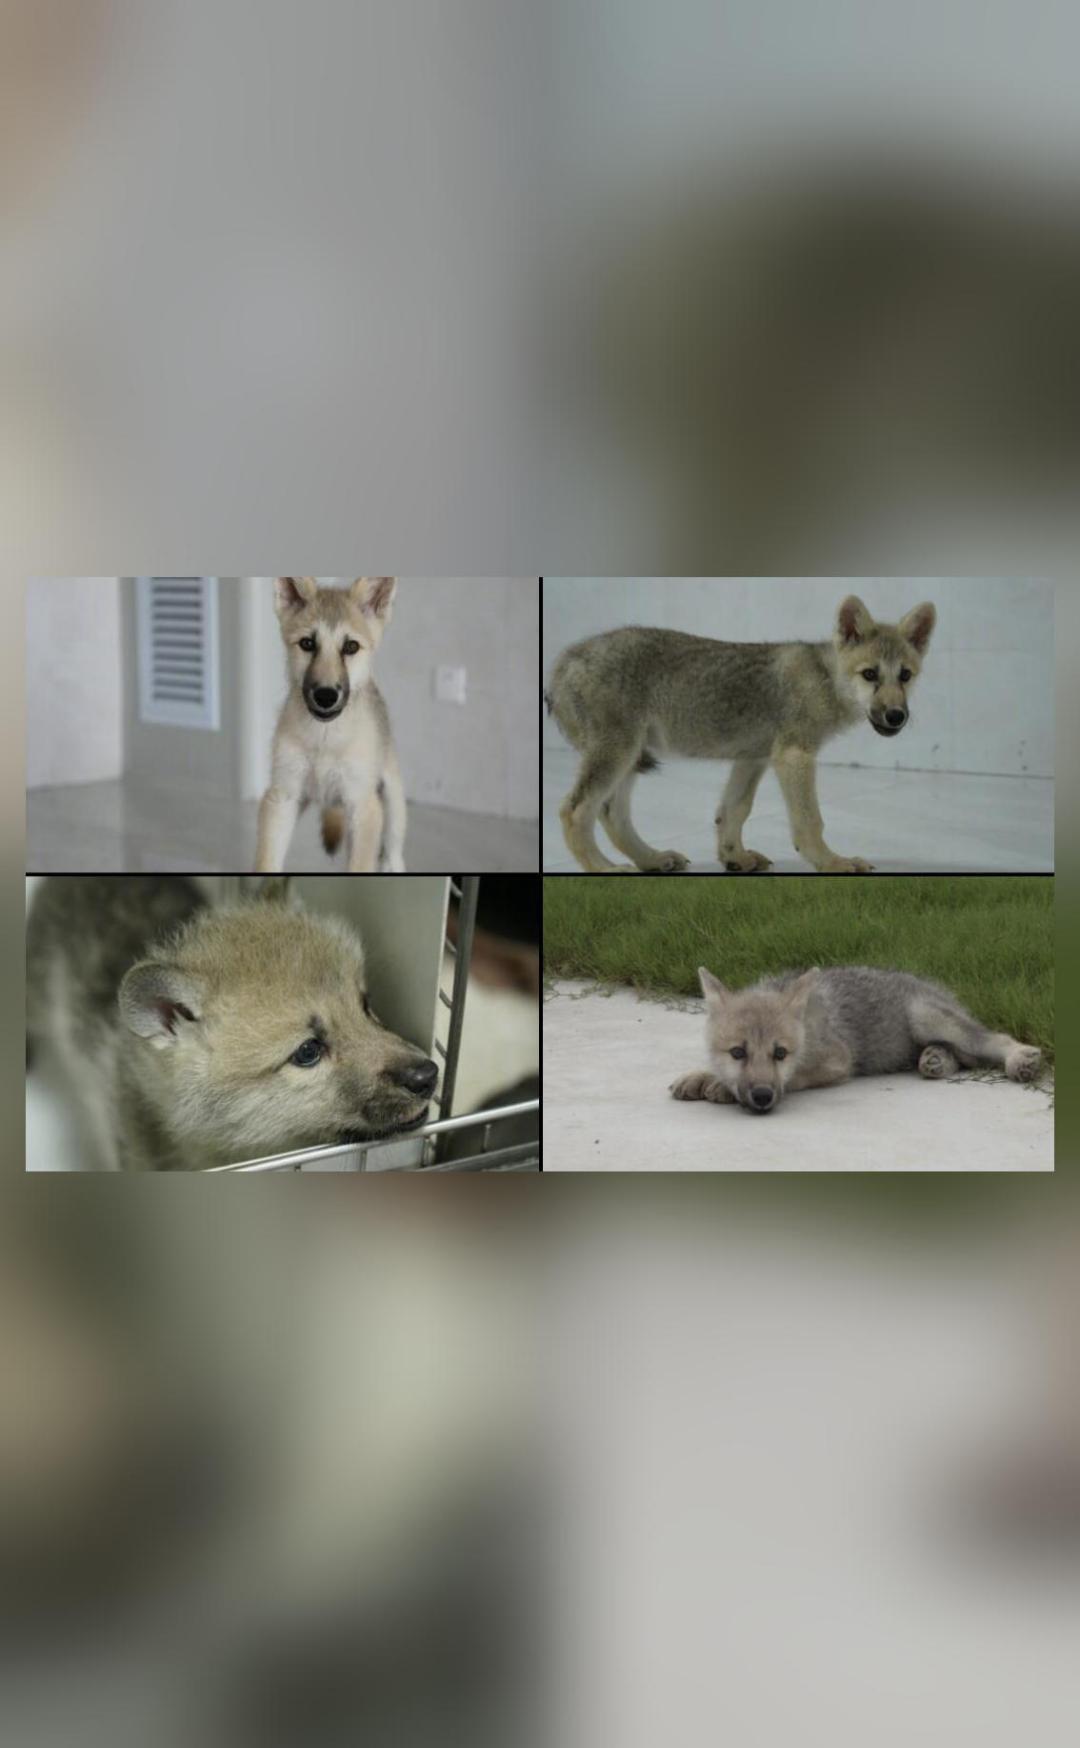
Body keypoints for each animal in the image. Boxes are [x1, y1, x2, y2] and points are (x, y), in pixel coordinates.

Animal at [256, 577, 407, 873]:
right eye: (307, 644)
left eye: (351, 647)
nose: (325, 696)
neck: (324, 740)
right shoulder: (282, 797)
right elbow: (266, 866)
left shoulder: (363, 807)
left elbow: (360, 868)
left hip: (392, 803)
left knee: (393, 853)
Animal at [546, 594, 936, 873]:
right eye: (870, 675)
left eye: (905, 676)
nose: (896, 716)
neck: (825, 678)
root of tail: (564, 660)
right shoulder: (794, 756)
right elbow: (810, 822)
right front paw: (832, 862)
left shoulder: (754, 758)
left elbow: (734, 810)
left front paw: (734, 857)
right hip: (618, 754)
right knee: (575, 810)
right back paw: (605, 869)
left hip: (628, 758)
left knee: (611, 813)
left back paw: (651, 860)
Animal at [670, 964, 1043, 1115]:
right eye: (737, 1052)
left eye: (780, 1054)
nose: (762, 1097)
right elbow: (713, 1067)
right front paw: (702, 1076)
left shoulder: (838, 1062)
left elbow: (796, 1077)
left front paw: (719, 1086)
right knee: (963, 1058)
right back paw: (936, 1060)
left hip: (926, 1017)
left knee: (992, 1040)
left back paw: (1020, 1058)